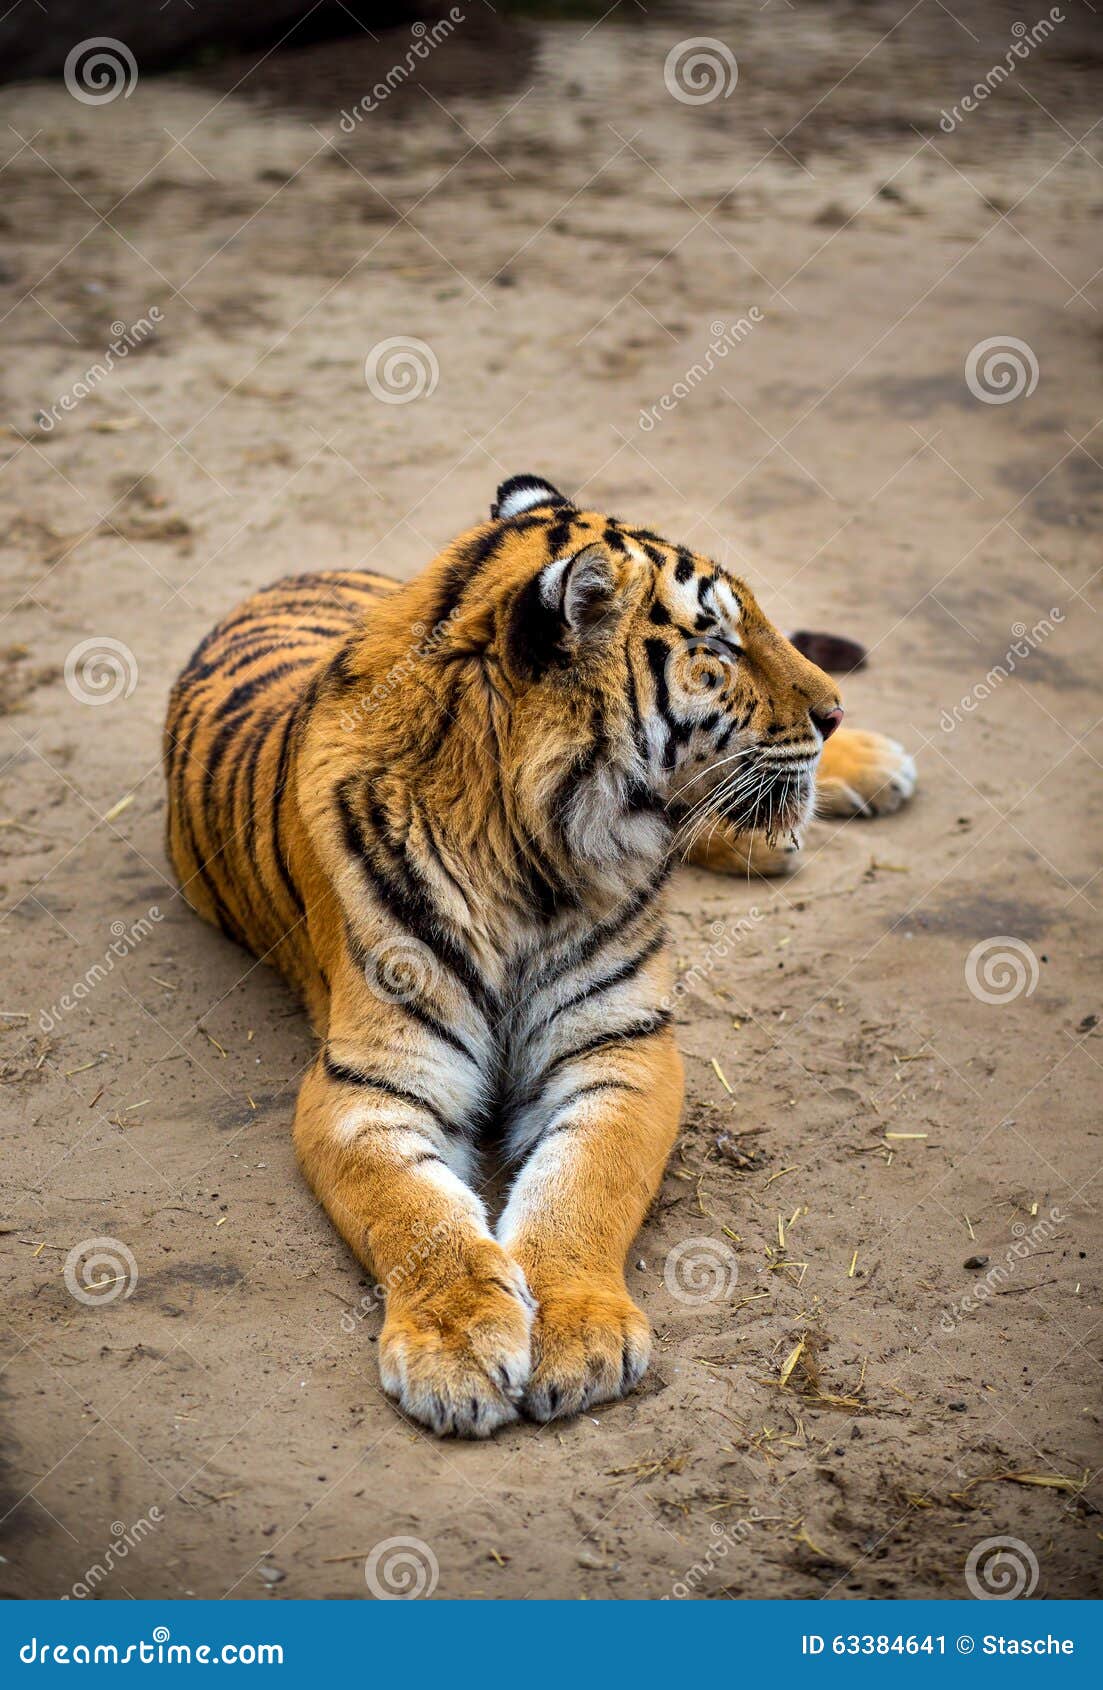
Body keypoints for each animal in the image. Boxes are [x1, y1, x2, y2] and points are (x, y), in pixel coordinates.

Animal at [164, 474, 916, 1437]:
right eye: (717, 643)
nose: (832, 712)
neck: (530, 858)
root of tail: (301, 574)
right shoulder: (368, 1085)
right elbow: (414, 1216)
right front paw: (455, 1349)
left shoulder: (620, 1050)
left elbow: (580, 1190)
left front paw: (573, 1330)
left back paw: (860, 773)